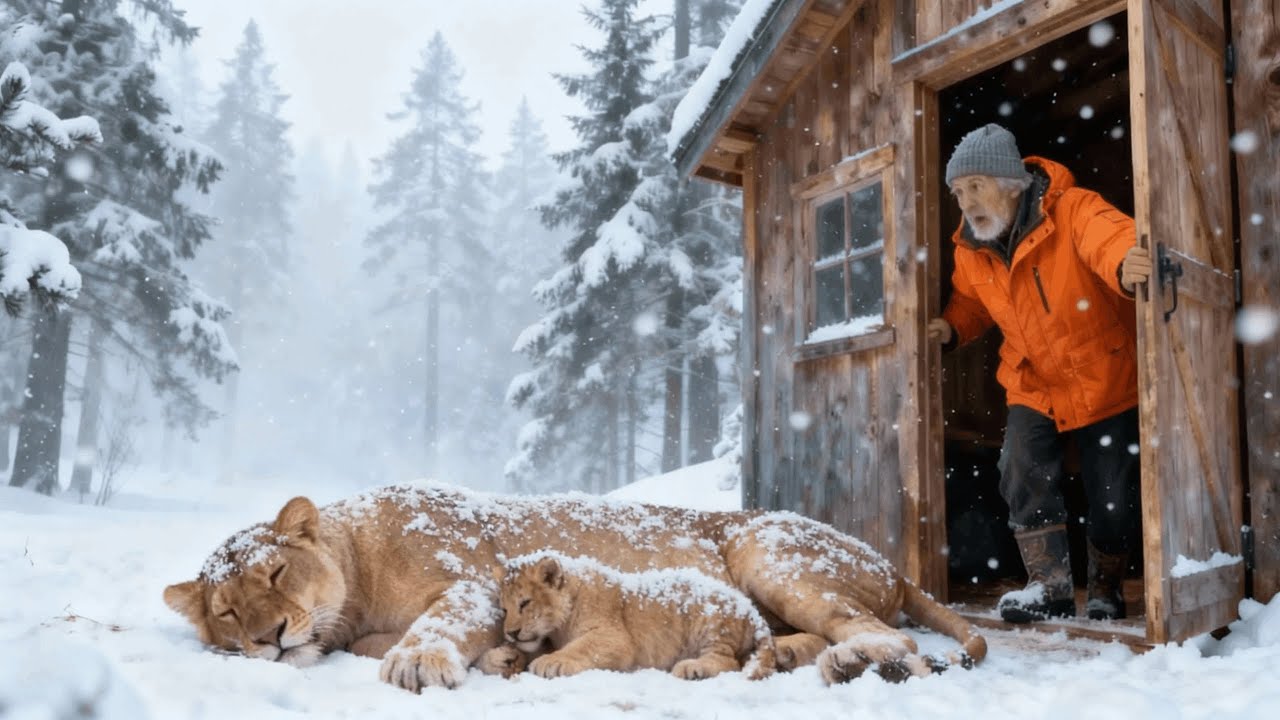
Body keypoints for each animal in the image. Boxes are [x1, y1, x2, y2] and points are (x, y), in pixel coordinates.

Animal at [487, 551, 779, 681]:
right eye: (504, 609)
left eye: (525, 603)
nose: (511, 633)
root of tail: (750, 608)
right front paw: (505, 658)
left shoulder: (614, 637)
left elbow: (582, 646)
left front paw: (551, 662)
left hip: (710, 622)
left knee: (729, 662)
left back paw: (692, 668)